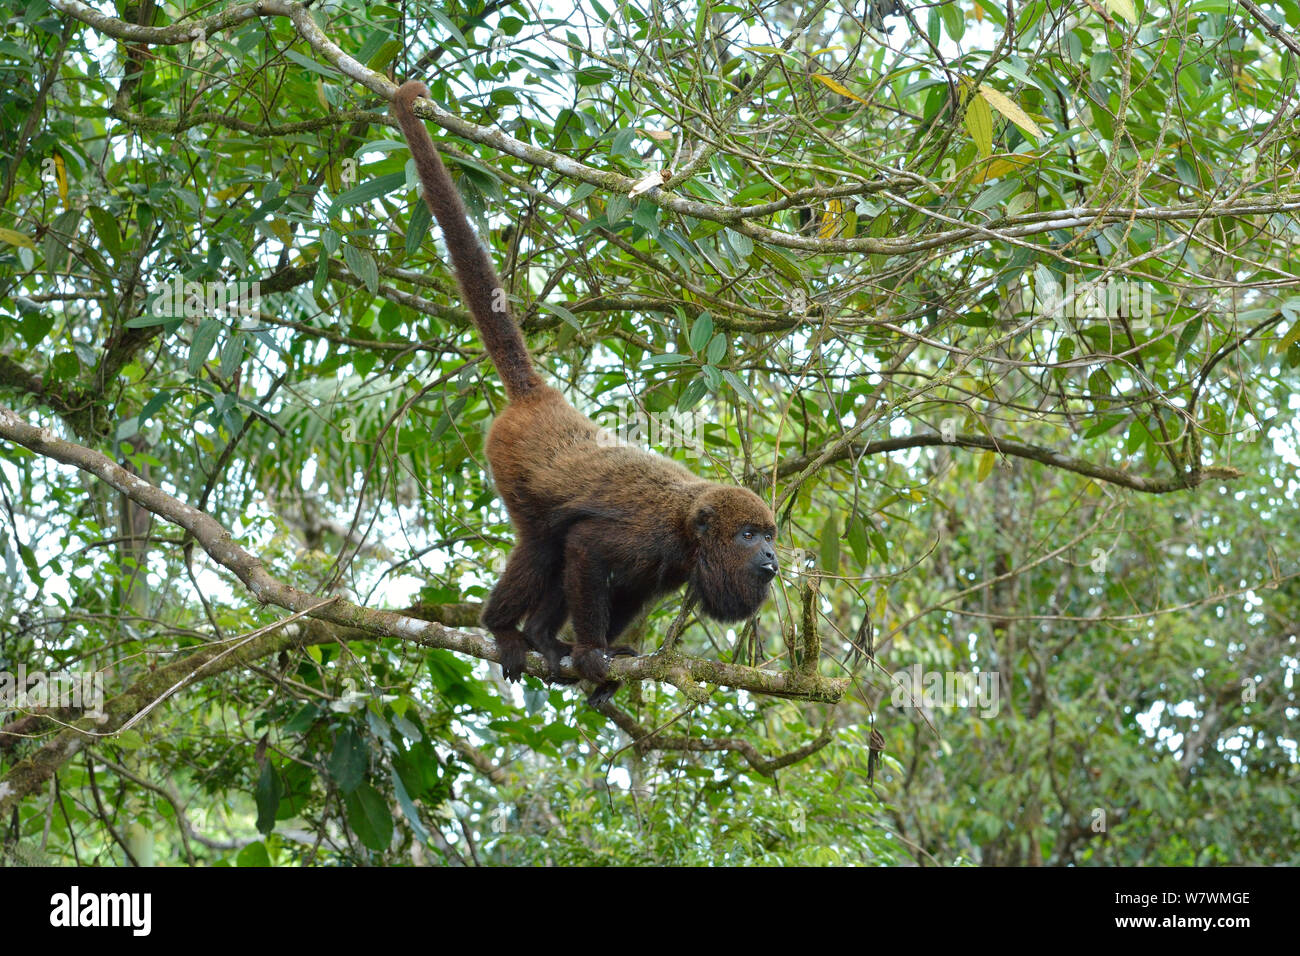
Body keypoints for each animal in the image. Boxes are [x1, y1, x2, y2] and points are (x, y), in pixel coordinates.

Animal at [391, 80, 779, 706]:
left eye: (769, 535)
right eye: (748, 535)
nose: (770, 555)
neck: (688, 530)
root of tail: (540, 398)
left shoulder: (670, 566)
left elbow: (633, 592)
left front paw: (604, 663)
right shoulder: (646, 535)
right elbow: (585, 550)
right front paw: (594, 651)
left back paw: (543, 638)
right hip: (511, 462)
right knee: (545, 543)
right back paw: (506, 629)